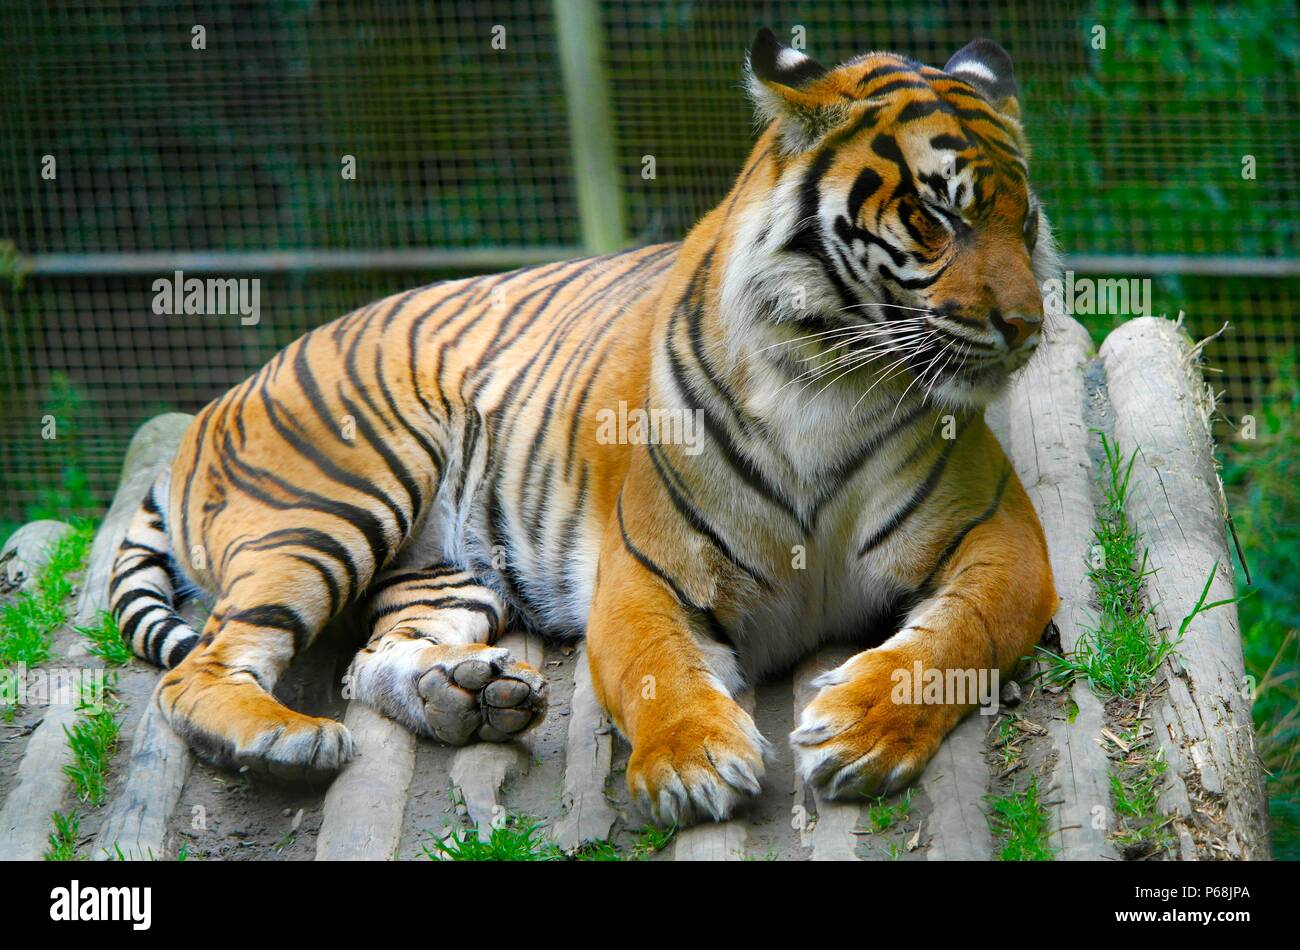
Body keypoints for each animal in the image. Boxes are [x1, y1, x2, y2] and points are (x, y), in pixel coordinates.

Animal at [109, 30, 1059, 825]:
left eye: (1023, 220)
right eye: (938, 217)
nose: (1027, 325)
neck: (830, 379)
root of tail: (222, 399)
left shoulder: (1003, 540)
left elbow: (954, 640)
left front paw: (860, 732)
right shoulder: (643, 570)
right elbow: (656, 668)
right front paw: (692, 763)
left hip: (443, 577)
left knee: (369, 659)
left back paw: (467, 694)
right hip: (333, 503)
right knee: (200, 668)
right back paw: (285, 738)